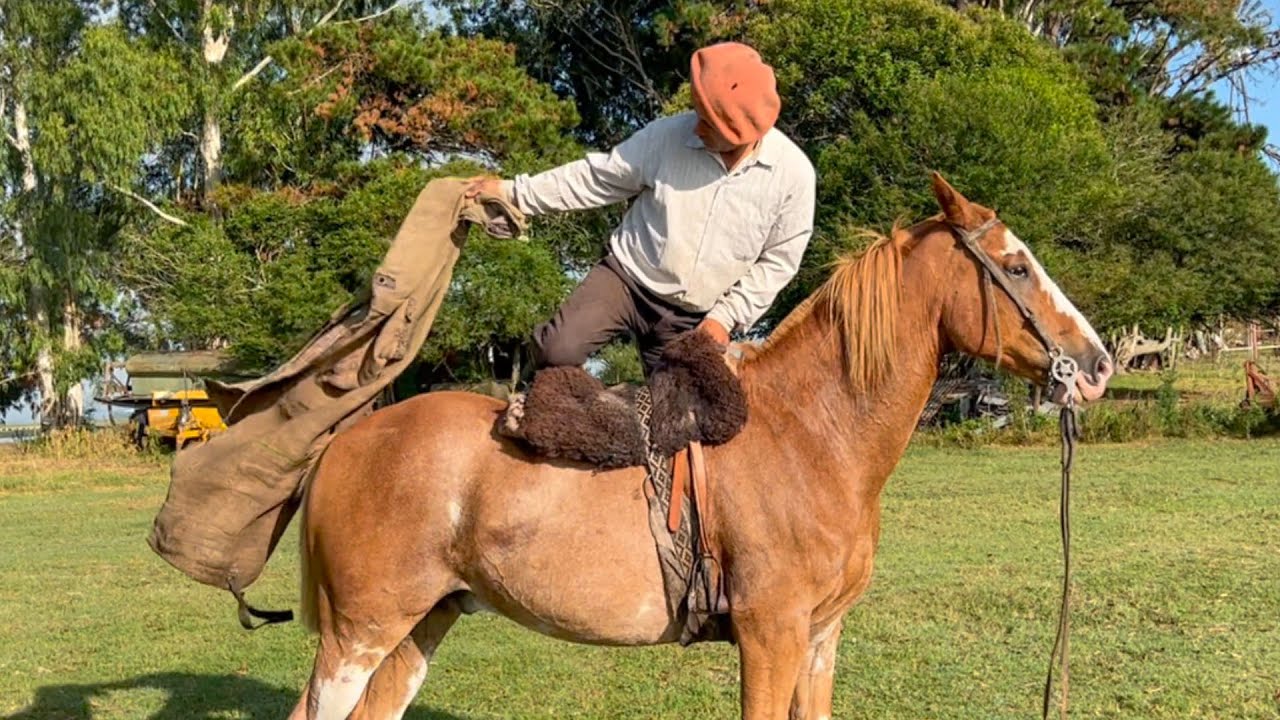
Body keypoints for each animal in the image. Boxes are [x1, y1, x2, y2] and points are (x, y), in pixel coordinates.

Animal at [287, 173, 1113, 720]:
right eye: (1016, 267)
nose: (1098, 364)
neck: (812, 437)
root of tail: (348, 439)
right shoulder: (770, 637)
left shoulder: (820, 639)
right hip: (359, 634)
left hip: (425, 620)